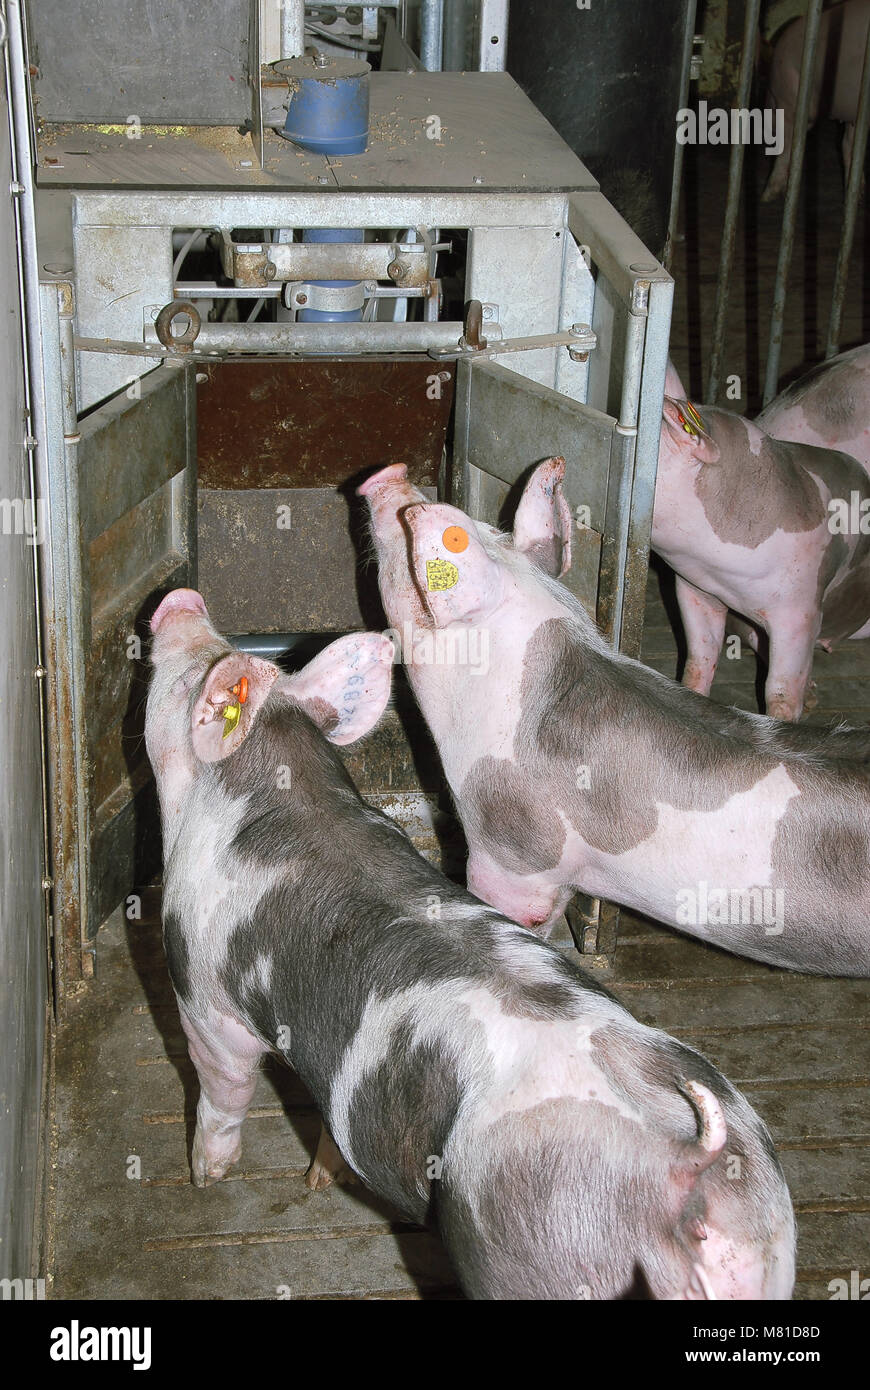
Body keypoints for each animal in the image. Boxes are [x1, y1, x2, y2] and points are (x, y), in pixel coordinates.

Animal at [145, 586, 796, 1300]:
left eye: (190, 676)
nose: (184, 597)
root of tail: (688, 1163)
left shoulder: (202, 989)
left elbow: (221, 1087)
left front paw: (204, 1175)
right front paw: (319, 1176)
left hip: (537, 1251)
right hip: (766, 1249)